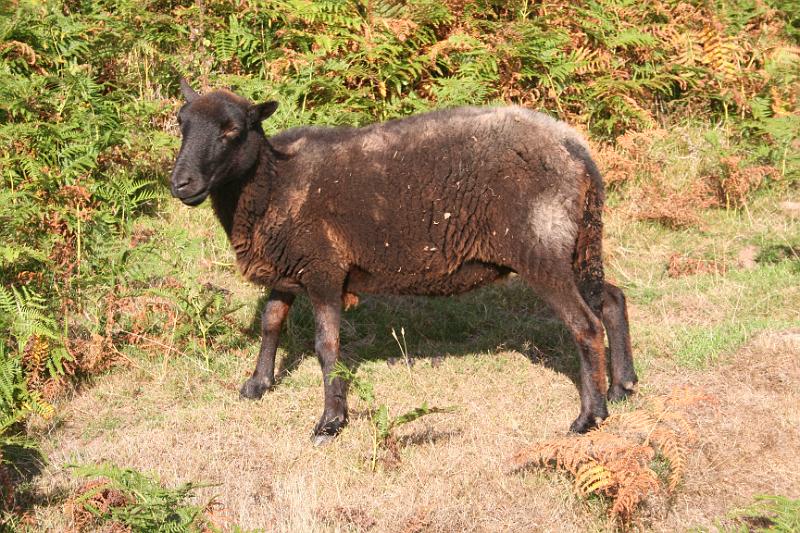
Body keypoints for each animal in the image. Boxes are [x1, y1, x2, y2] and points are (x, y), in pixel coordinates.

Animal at [170, 79, 638, 445]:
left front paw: (330, 422)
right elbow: (271, 322)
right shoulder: (288, 267)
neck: (273, 185)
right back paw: (622, 386)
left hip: (541, 247)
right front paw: (258, 384)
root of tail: (575, 148)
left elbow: (327, 346)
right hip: (578, 245)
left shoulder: (323, 270)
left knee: (585, 325)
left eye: (232, 130)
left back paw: (590, 417)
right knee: (611, 299)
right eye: (181, 123)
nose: (181, 184)